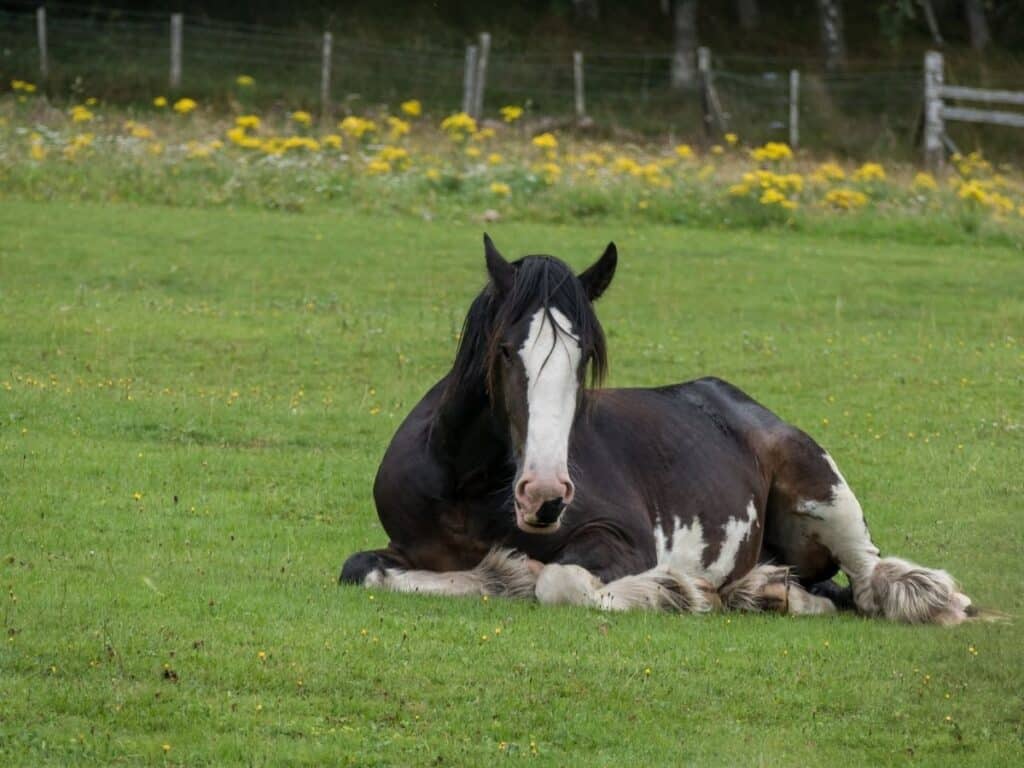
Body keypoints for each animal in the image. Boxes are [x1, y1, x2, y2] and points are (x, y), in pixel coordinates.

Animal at [340, 235, 975, 625]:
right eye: (503, 350)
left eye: (584, 357)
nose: (544, 496)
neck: (465, 487)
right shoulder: (400, 549)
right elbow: (362, 571)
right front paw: (499, 574)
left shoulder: (622, 541)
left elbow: (559, 582)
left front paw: (670, 590)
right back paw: (764, 591)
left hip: (828, 498)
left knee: (870, 581)